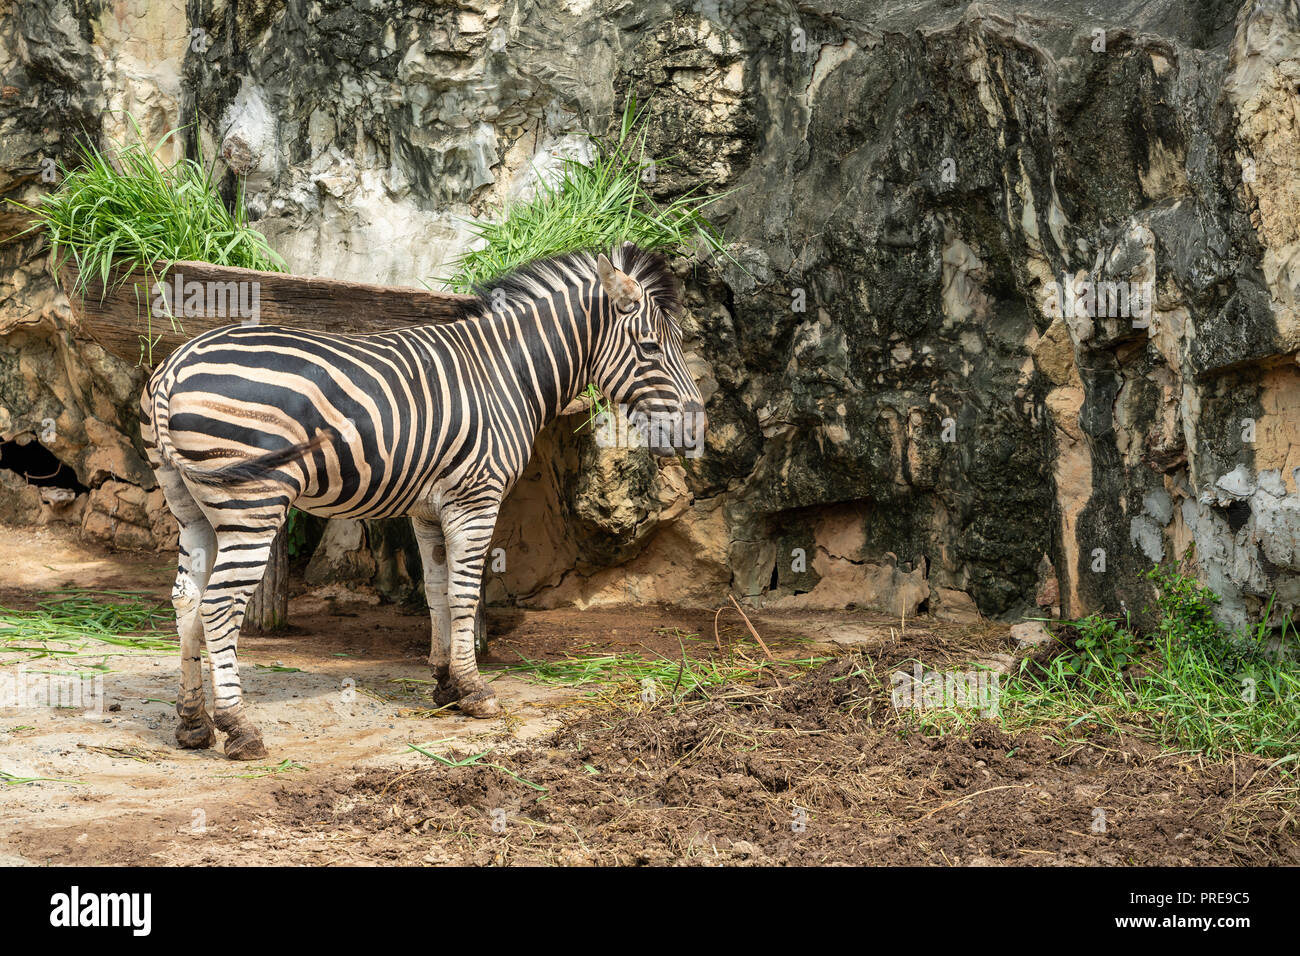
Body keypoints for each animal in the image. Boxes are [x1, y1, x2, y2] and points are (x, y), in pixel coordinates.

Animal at [140, 244, 707, 759]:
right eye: (651, 348)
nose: (697, 430)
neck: (508, 374)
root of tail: (174, 367)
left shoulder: (429, 509)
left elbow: (436, 592)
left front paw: (445, 684)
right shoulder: (476, 500)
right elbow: (464, 594)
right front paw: (476, 693)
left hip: (193, 509)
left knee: (186, 601)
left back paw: (192, 724)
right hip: (252, 506)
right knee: (218, 605)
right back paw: (239, 728)